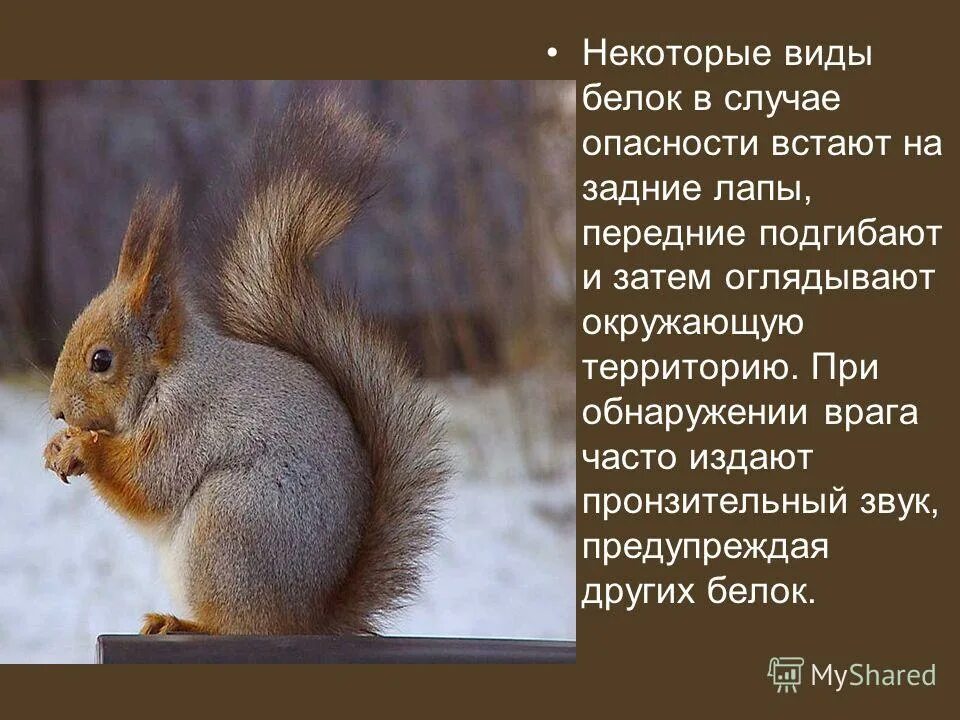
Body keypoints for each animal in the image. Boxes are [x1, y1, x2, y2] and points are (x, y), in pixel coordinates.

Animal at [41, 96, 448, 635]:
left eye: (101, 360)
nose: (57, 410)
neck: (165, 376)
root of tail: (307, 618)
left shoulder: (185, 422)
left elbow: (149, 483)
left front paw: (82, 448)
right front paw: (57, 444)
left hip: (230, 522)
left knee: (238, 625)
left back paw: (184, 624)